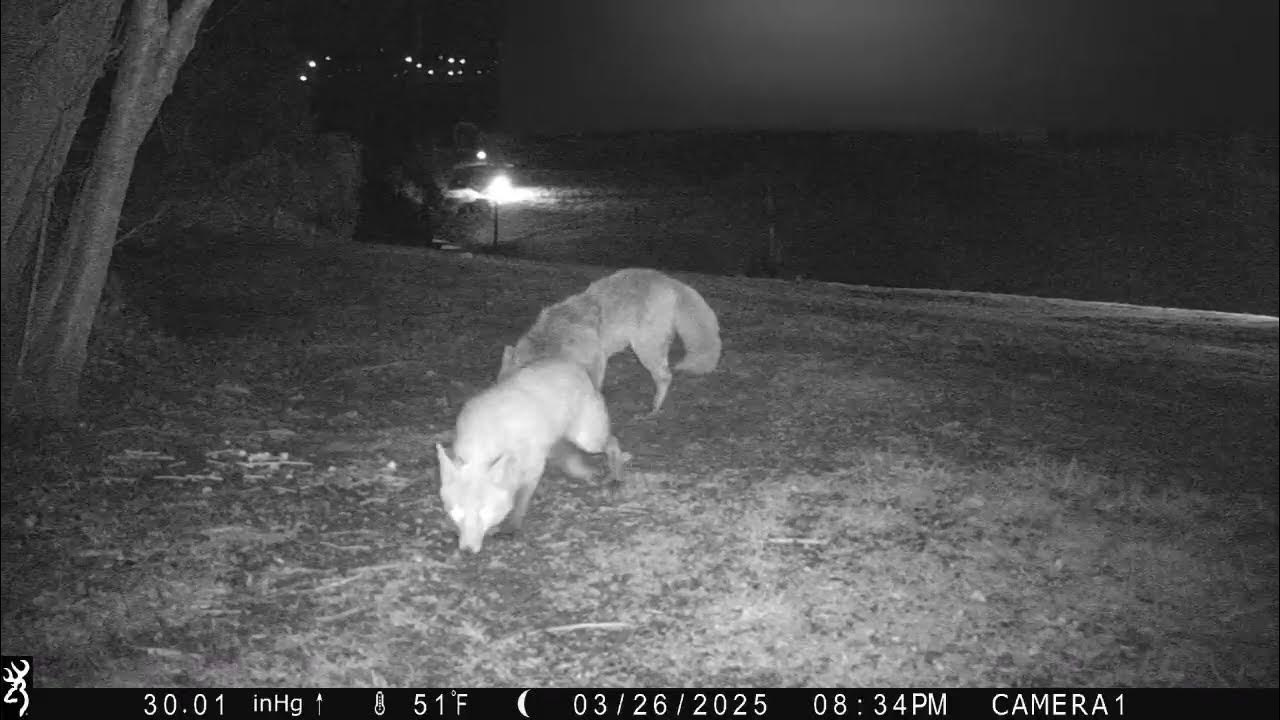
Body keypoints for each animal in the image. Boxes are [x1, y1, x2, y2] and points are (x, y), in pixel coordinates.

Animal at [436, 358, 629, 553]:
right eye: (457, 512)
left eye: (484, 512)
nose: (467, 550)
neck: (484, 442)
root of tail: (571, 364)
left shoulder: (534, 468)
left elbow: (519, 503)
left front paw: (511, 528)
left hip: (587, 440)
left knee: (613, 443)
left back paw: (616, 477)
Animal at [500, 268, 722, 416]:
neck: (552, 340)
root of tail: (669, 280)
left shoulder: (597, 359)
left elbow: (594, 390)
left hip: (645, 349)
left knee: (665, 377)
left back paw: (653, 410)